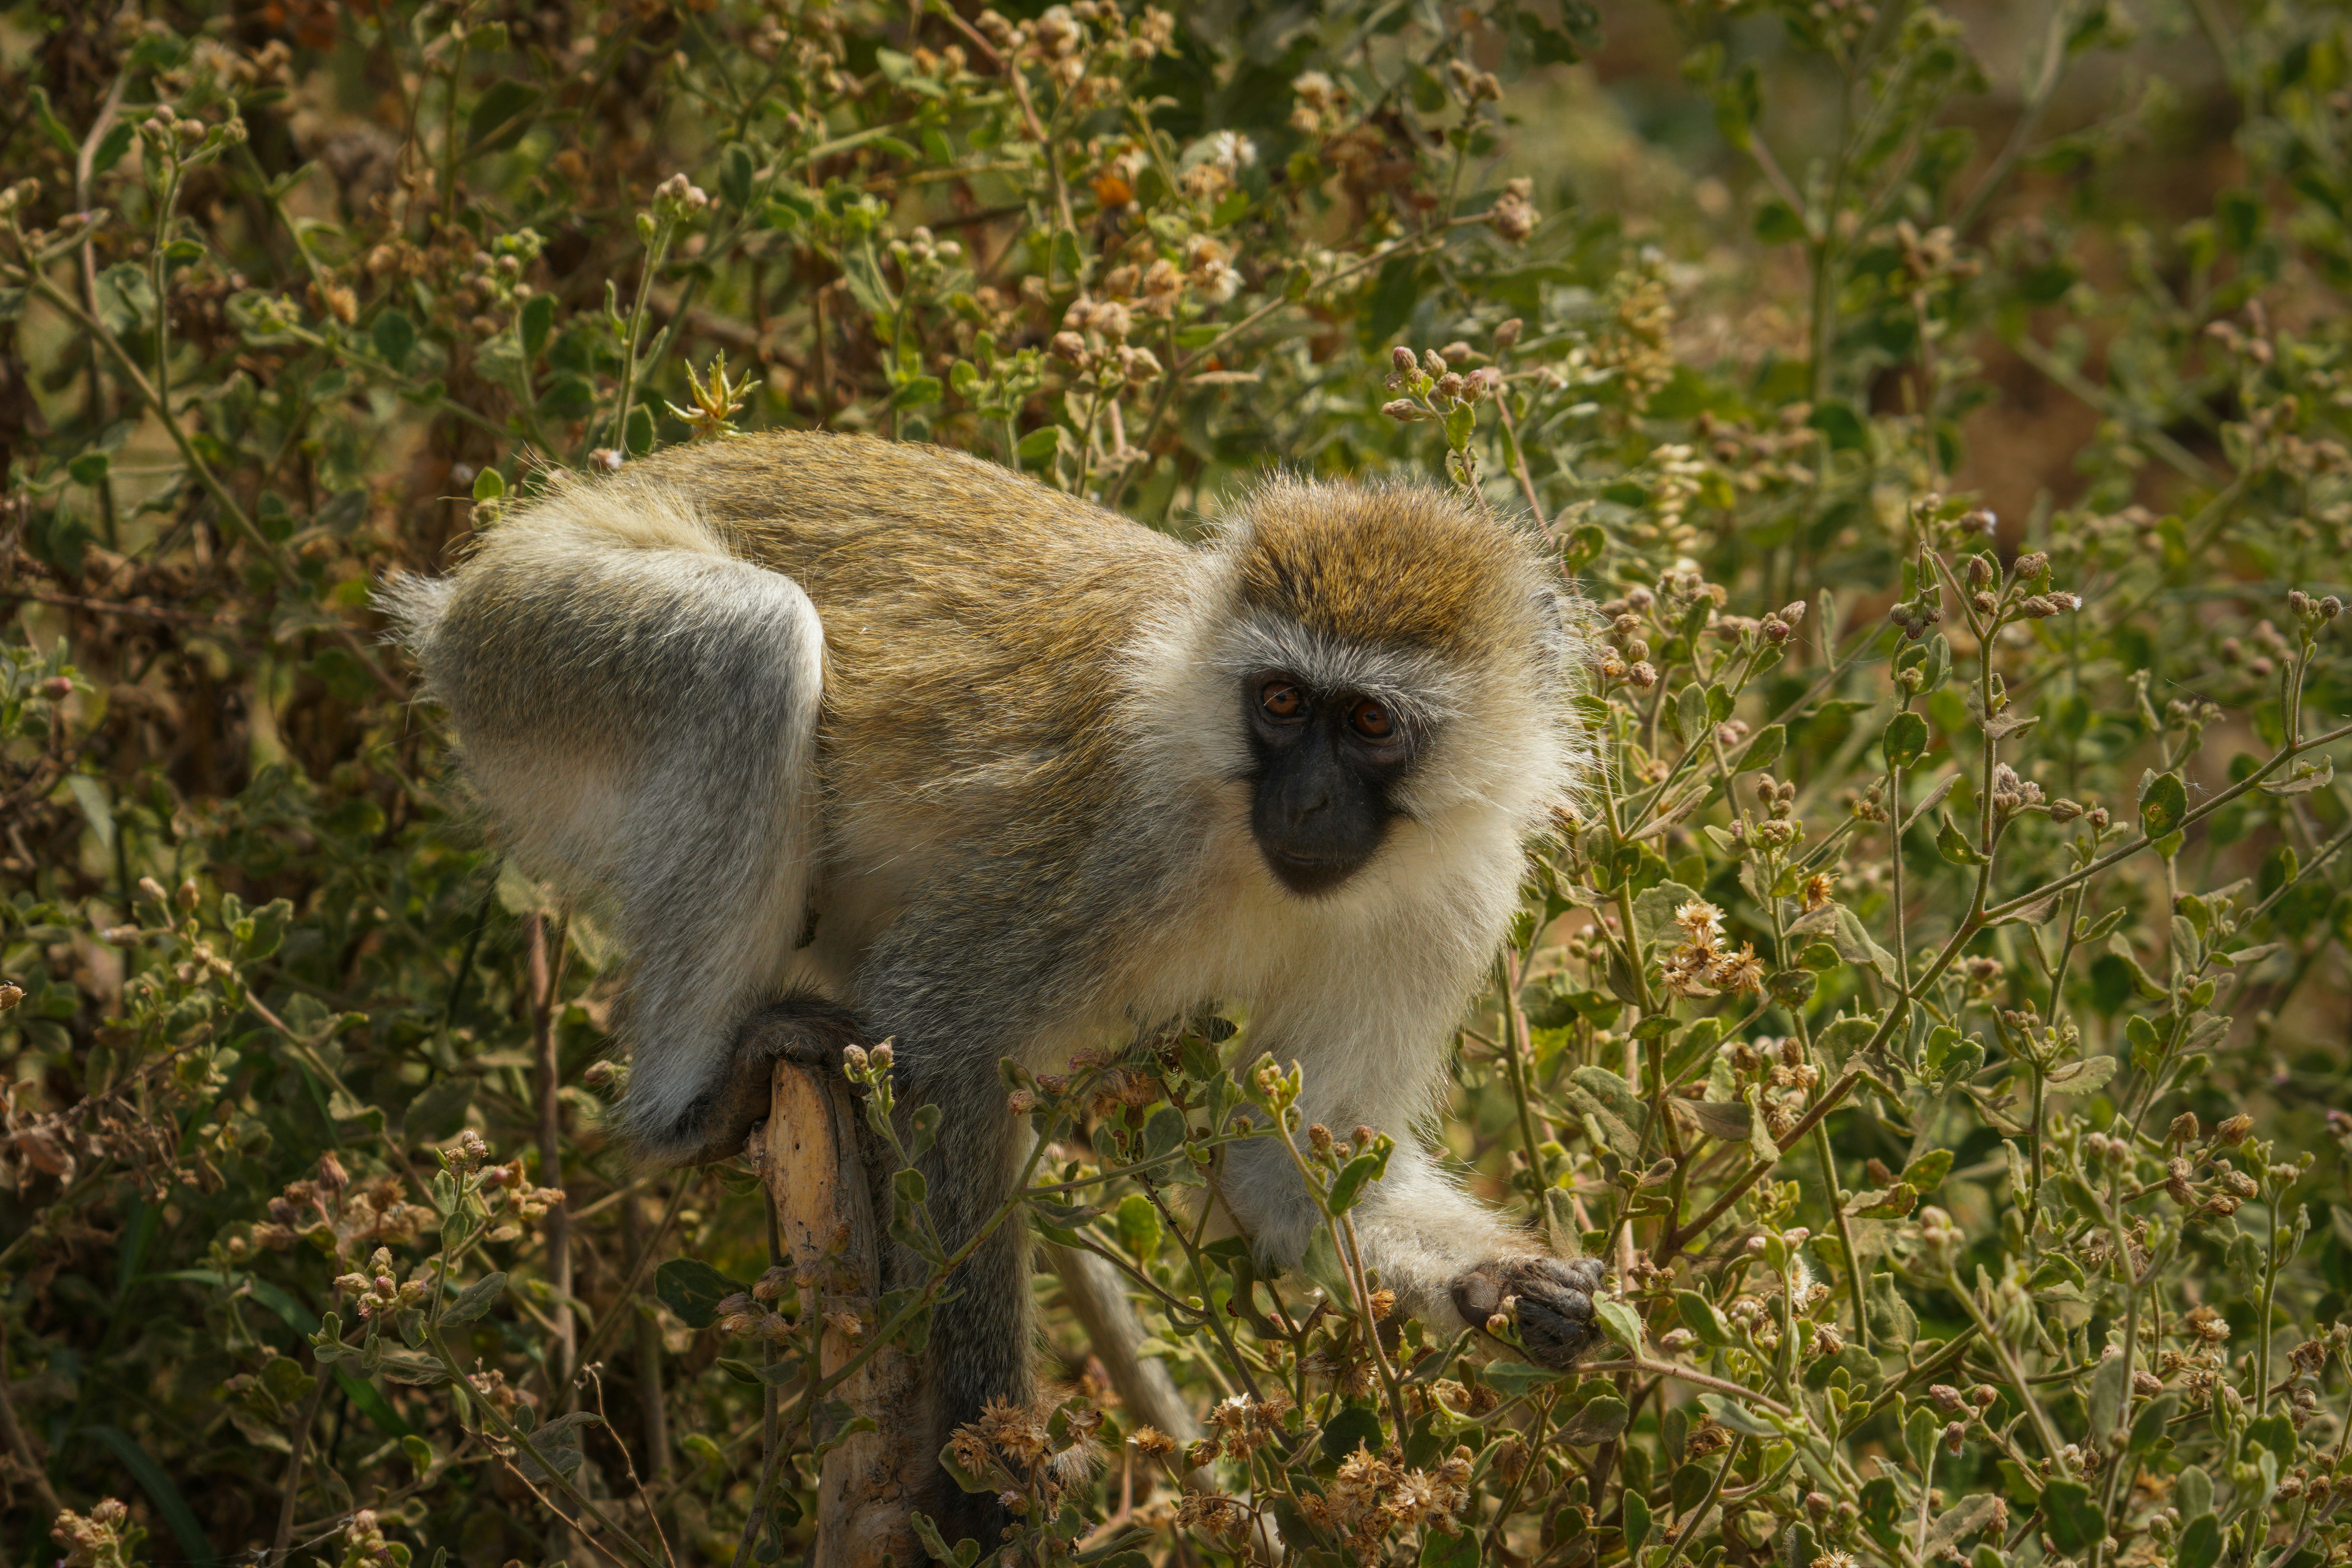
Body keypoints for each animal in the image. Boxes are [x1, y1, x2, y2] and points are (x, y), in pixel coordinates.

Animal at [385, 430, 1609, 1540]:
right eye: (1277, 703)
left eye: (1367, 721)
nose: (1306, 804)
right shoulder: (1119, 849)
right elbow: (944, 1034)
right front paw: (986, 1464)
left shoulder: (1455, 899)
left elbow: (1280, 1173)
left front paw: (1503, 1287)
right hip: (535, 645)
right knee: (748, 641)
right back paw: (692, 1108)